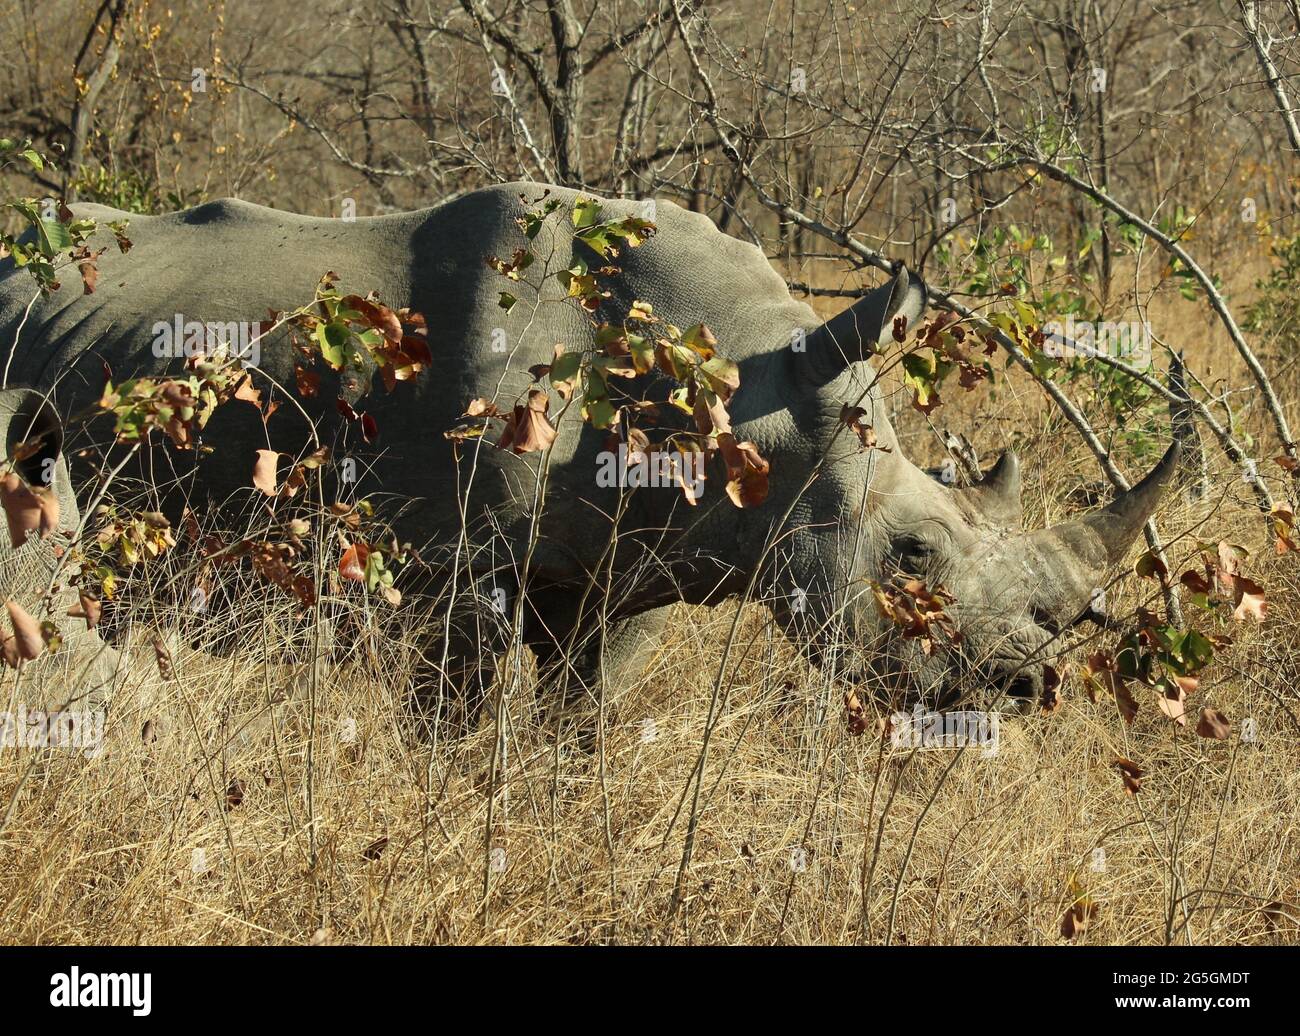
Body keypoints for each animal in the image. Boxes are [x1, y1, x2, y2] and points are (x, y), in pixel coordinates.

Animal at [0, 182, 1178, 719]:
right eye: (915, 554)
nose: (1023, 688)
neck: (753, 400)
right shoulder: (450, 575)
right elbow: (462, 723)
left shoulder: (642, 564)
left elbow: (584, 722)